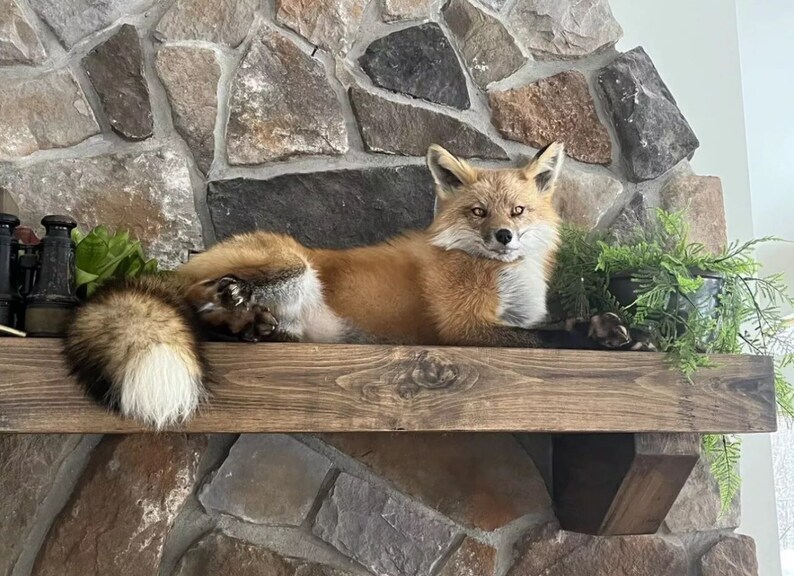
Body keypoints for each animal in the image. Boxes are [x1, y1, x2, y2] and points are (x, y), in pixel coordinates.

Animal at [64, 142, 646, 428]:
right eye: (479, 212)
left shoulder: (519, 317)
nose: (503, 236)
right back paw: (231, 301)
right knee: (196, 299)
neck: (500, 274)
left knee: (221, 323)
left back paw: (252, 328)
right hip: (290, 263)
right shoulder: (466, 330)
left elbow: (563, 324)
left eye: (518, 211)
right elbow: (548, 337)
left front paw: (615, 331)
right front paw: (598, 337)